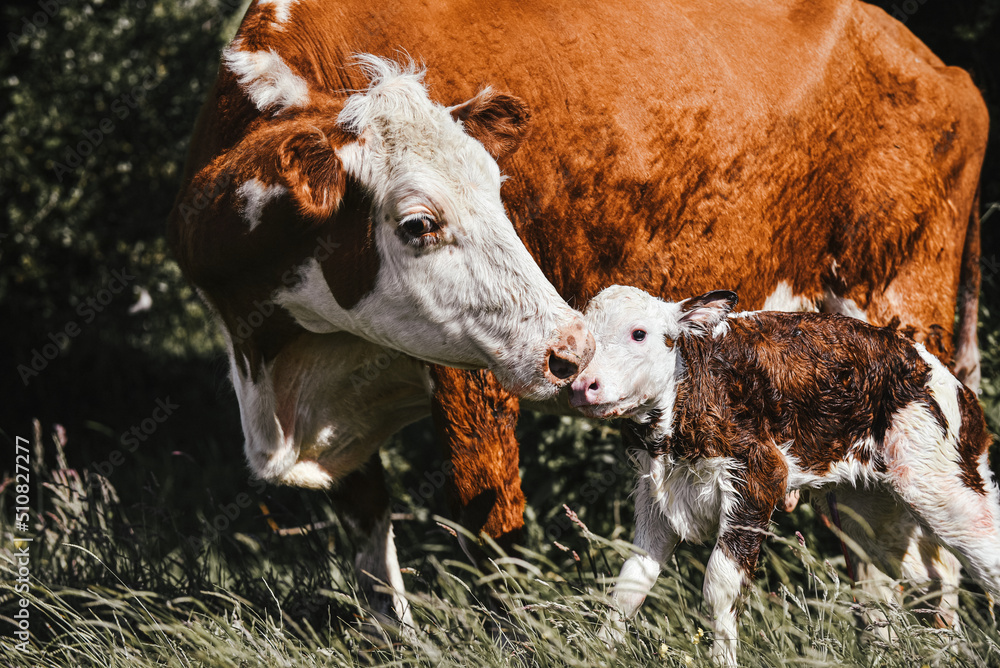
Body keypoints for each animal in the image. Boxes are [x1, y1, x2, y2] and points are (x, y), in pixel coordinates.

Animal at [168, 0, 988, 630]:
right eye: (417, 224)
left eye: (501, 188)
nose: (572, 348)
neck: (286, 377)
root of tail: (940, 67)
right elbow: (372, 551)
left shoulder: (476, 381)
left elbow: (491, 530)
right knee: (879, 548)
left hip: (905, 326)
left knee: (932, 546)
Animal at [570, 285, 999, 665]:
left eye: (639, 333)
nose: (582, 385)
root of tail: (952, 382)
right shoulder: (656, 499)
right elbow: (628, 586)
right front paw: (600, 653)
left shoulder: (758, 476)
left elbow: (720, 585)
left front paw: (721, 660)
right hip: (874, 510)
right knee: (926, 580)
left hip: (941, 485)